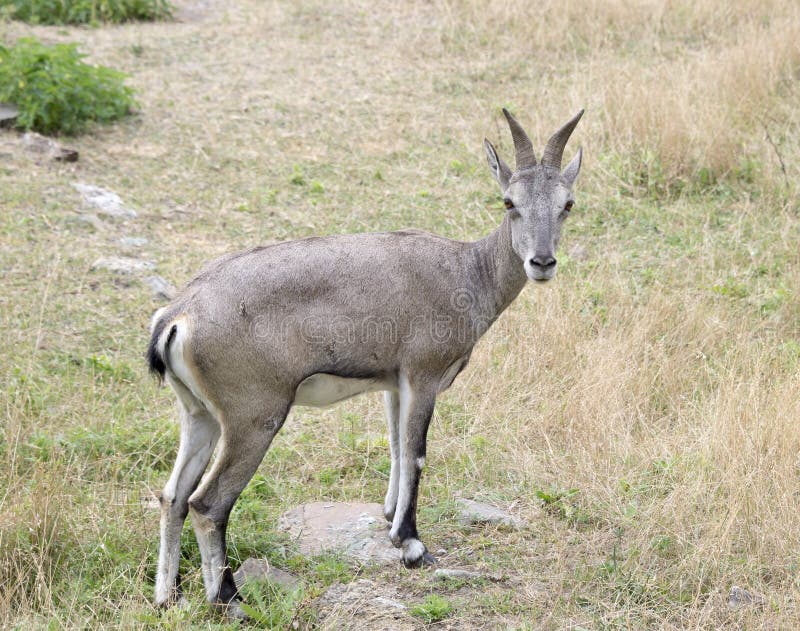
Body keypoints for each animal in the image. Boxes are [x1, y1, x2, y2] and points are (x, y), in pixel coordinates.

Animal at [147, 107, 584, 616]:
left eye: (567, 203)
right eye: (509, 201)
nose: (542, 262)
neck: (466, 273)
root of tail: (179, 315)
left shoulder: (394, 384)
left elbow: (395, 448)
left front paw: (391, 518)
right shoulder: (423, 375)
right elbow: (416, 453)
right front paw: (412, 544)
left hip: (199, 415)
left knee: (173, 496)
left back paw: (167, 596)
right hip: (253, 417)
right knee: (208, 503)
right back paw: (229, 600)